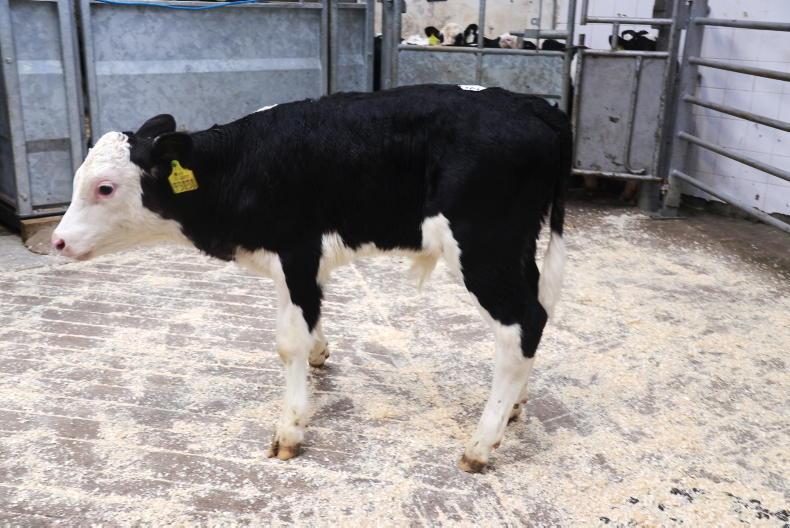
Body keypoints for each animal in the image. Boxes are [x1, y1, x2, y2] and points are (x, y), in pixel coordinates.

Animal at [51, 84, 570, 472]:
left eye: (105, 188)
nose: (57, 241)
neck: (242, 166)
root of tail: (533, 104)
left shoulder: (297, 251)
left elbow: (288, 342)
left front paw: (290, 427)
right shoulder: (298, 264)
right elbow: (307, 319)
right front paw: (320, 353)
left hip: (484, 247)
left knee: (520, 324)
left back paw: (480, 444)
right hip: (515, 247)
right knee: (538, 312)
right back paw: (514, 407)